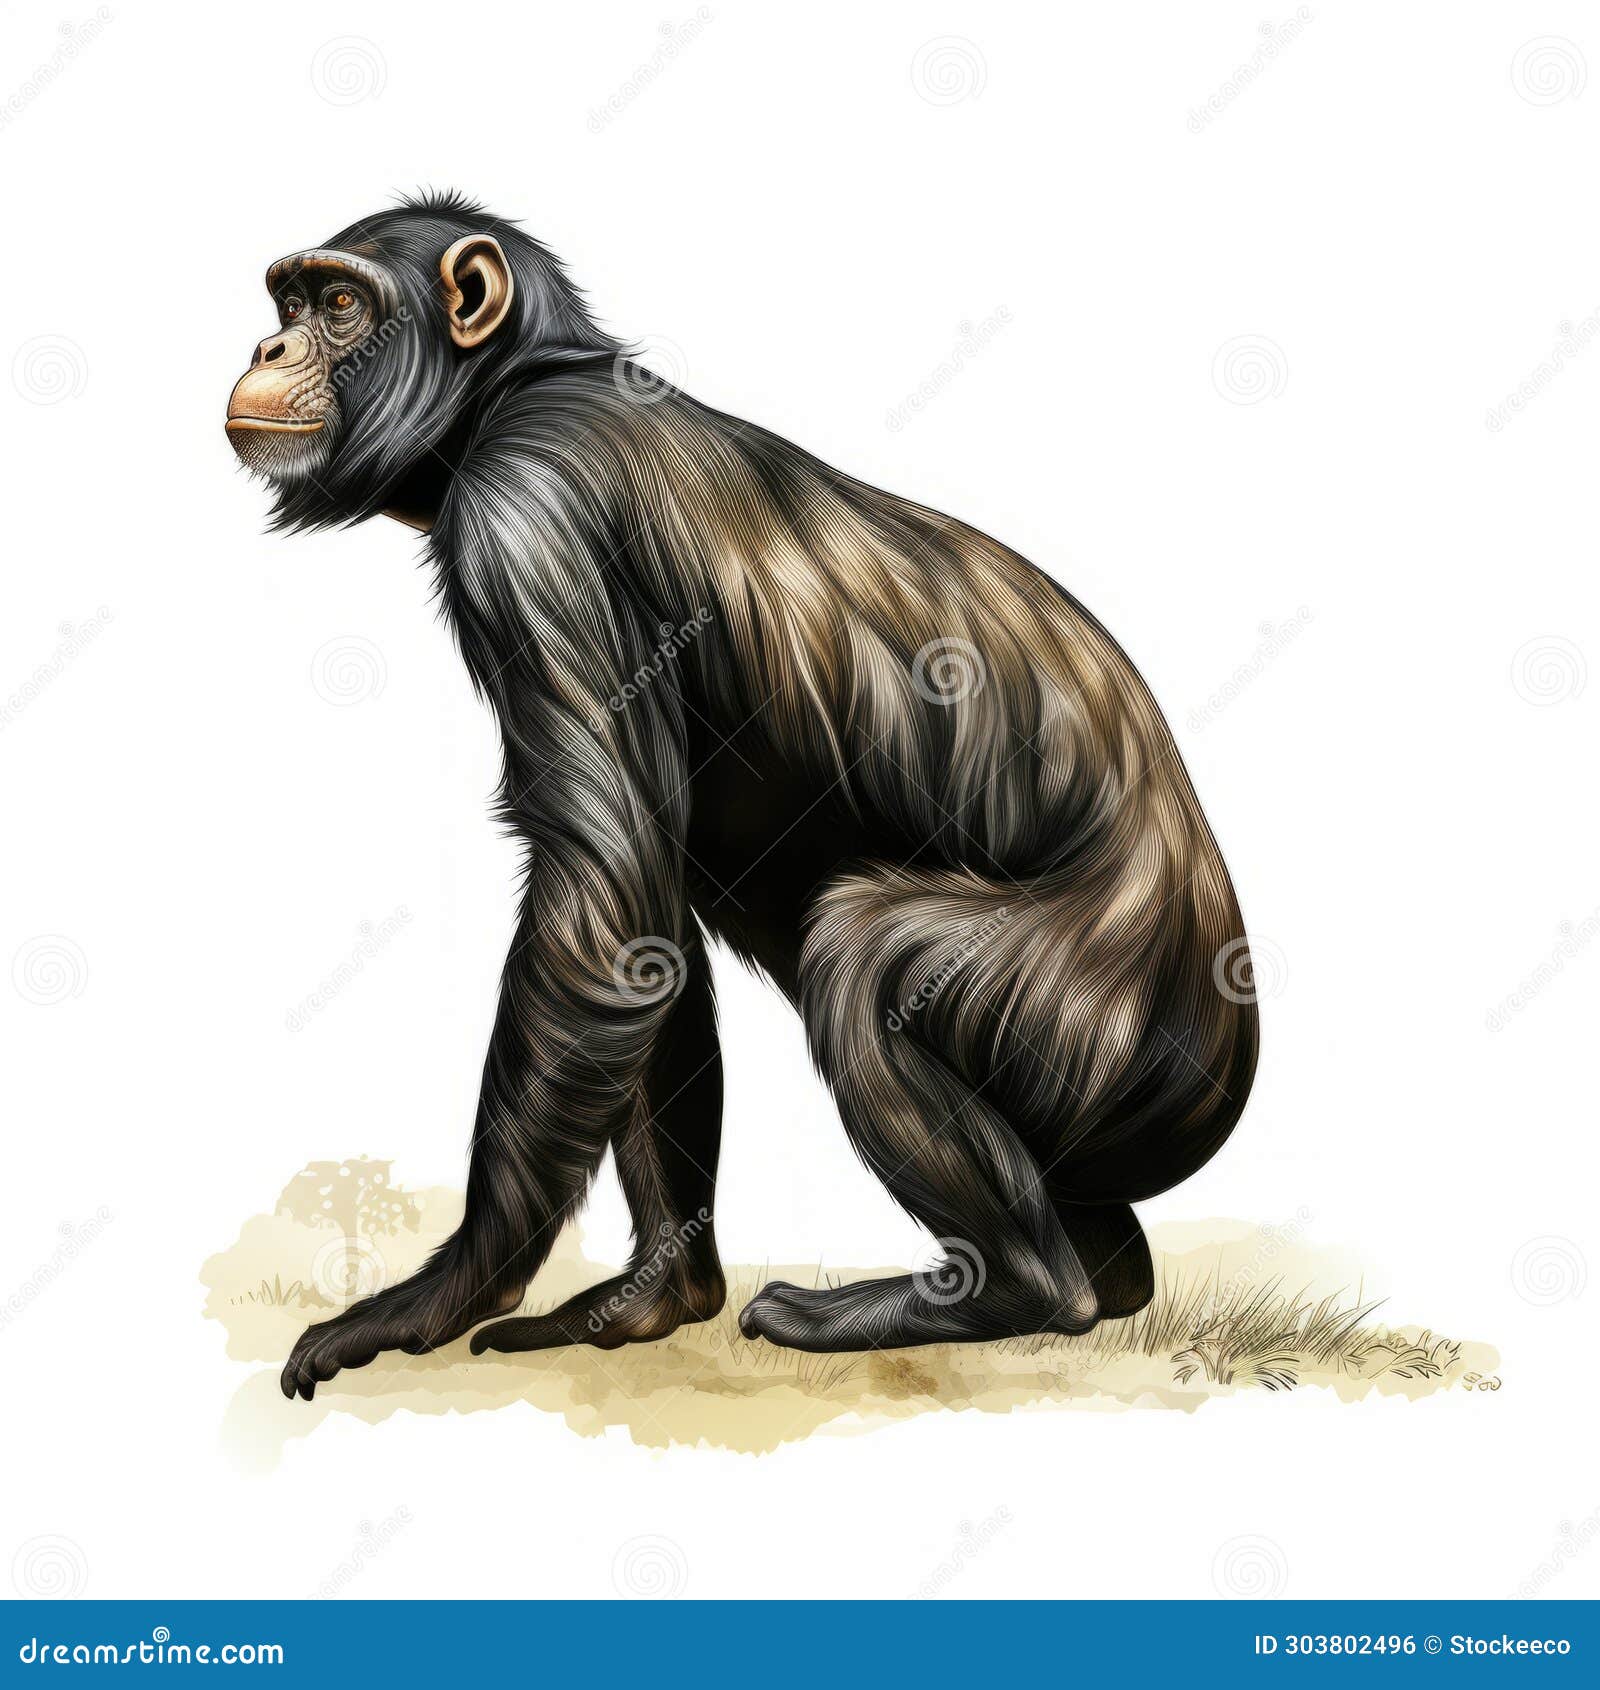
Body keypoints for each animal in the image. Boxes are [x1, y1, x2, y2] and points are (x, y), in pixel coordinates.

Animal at [226, 193, 1257, 1401]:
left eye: (339, 304)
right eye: (288, 303)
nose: (269, 349)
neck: (511, 391)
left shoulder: (529, 516)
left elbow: (605, 894)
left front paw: (439, 1293)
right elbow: (640, 934)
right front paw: (655, 1297)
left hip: (1106, 1029)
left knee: (862, 956)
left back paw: (992, 1293)